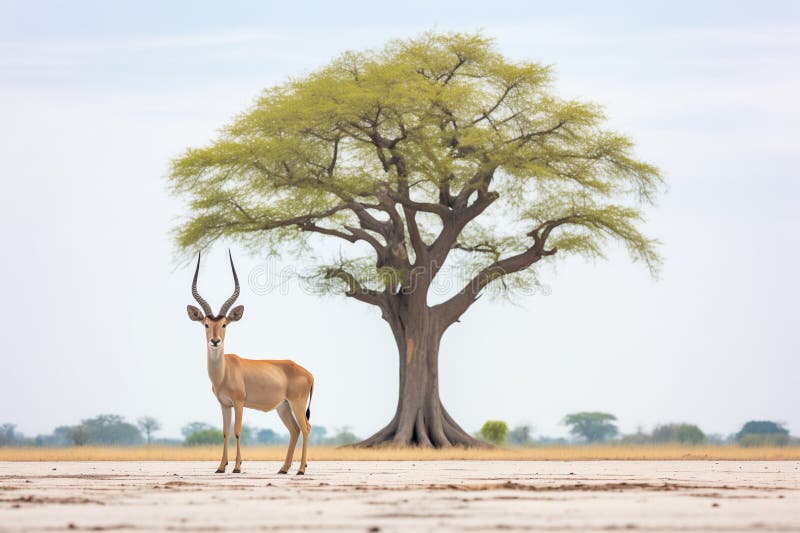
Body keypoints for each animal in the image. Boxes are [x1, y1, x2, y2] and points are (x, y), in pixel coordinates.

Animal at [186, 252, 314, 475]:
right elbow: (225, 432)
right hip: (283, 407)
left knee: (306, 428)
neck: (224, 372)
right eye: (206, 324)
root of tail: (308, 374)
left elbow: (237, 431)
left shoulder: (239, 402)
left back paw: (300, 470)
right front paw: (221, 467)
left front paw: (237, 467)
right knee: (294, 430)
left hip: (297, 404)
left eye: (224, 324)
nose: (215, 341)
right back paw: (283, 469)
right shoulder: (224, 404)